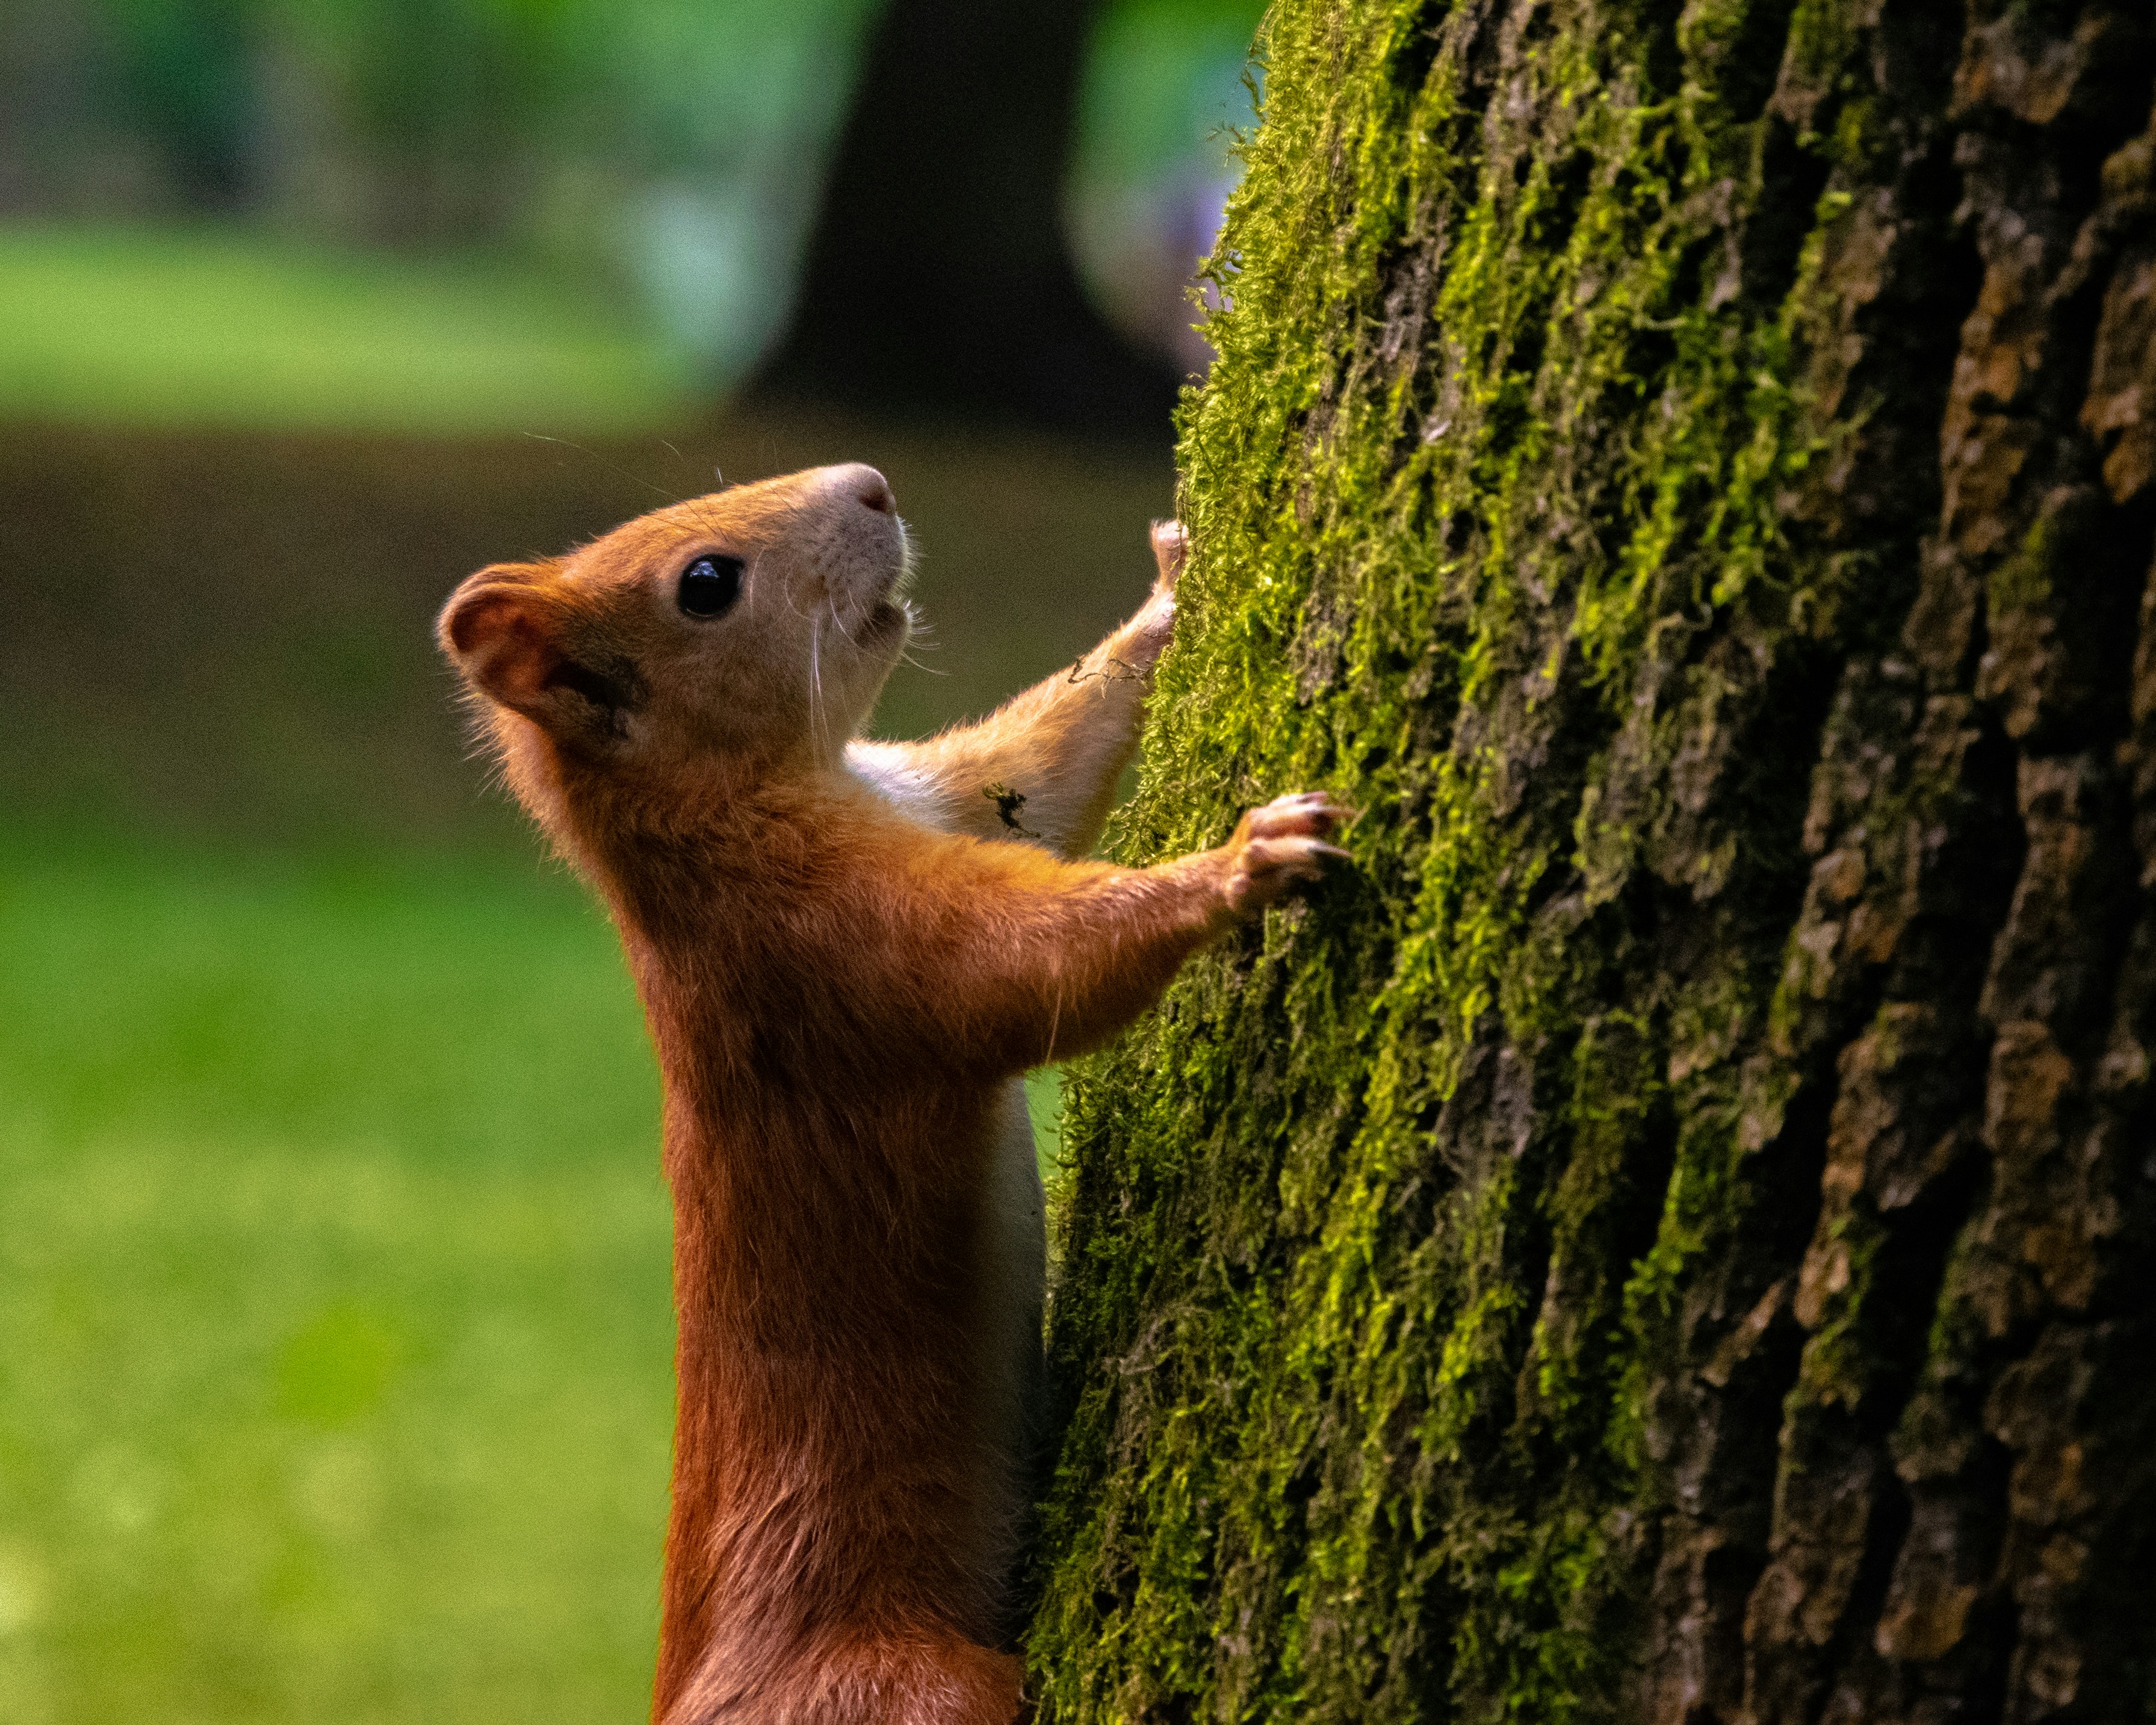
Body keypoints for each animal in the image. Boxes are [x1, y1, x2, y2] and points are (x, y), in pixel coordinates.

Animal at [437, 462, 1348, 1725]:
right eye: (705, 583)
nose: (868, 482)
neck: (732, 821)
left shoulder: (937, 800)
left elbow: (1036, 773)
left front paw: (1171, 586)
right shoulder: (841, 953)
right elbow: (1032, 968)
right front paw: (1240, 865)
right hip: (895, 1687)